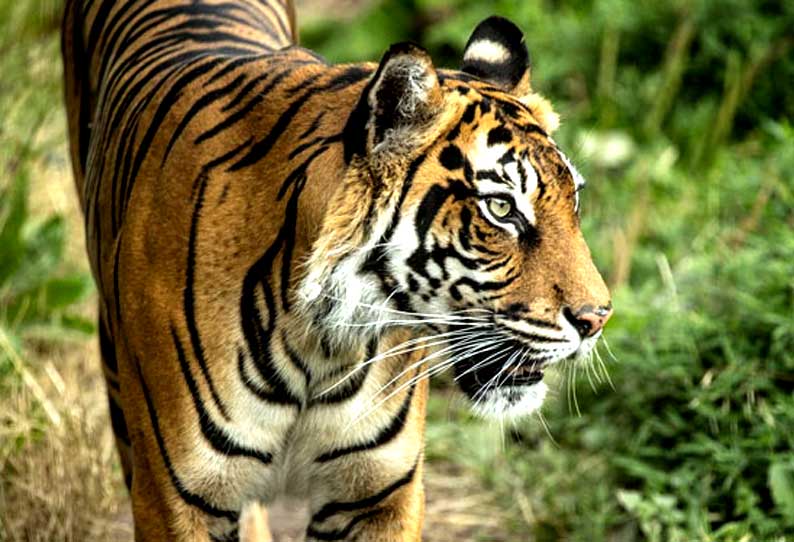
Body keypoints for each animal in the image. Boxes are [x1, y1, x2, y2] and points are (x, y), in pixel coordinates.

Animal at [61, 0, 612, 540]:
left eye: (574, 200)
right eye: (500, 208)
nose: (597, 319)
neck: (320, 343)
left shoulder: (379, 495)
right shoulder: (176, 499)